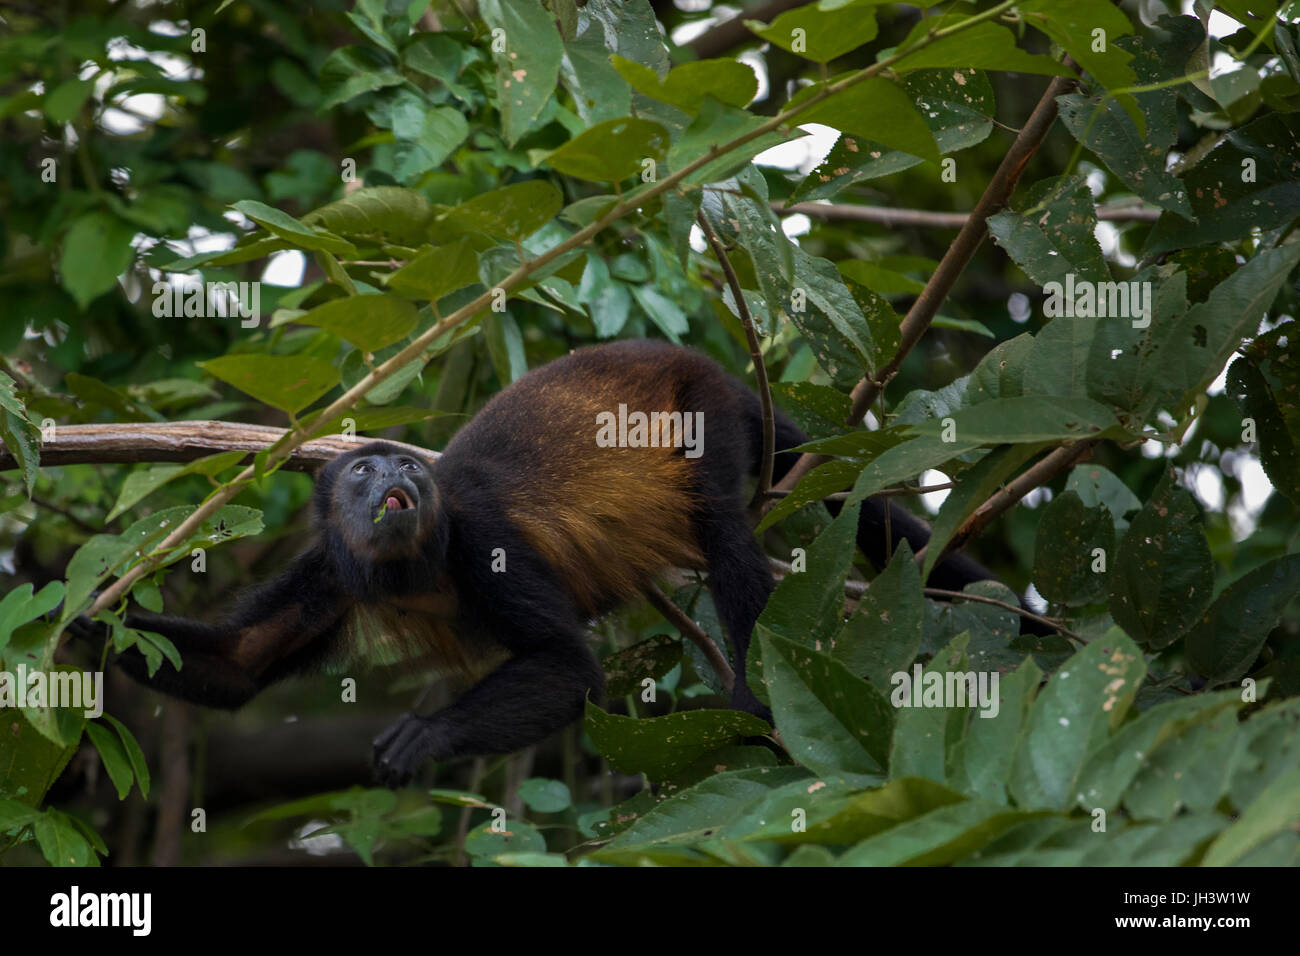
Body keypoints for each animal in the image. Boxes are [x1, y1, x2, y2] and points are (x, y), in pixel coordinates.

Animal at [79, 339, 1036, 785]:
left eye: (401, 468)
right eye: (360, 471)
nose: (398, 475)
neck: (417, 566)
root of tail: (719, 370)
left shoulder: (482, 540)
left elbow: (570, 664)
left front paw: (431, 733)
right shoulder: (330, 572)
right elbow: (239, 665)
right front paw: (82, 630)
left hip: (702, 408)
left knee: (725, 532)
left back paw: (757, 706)